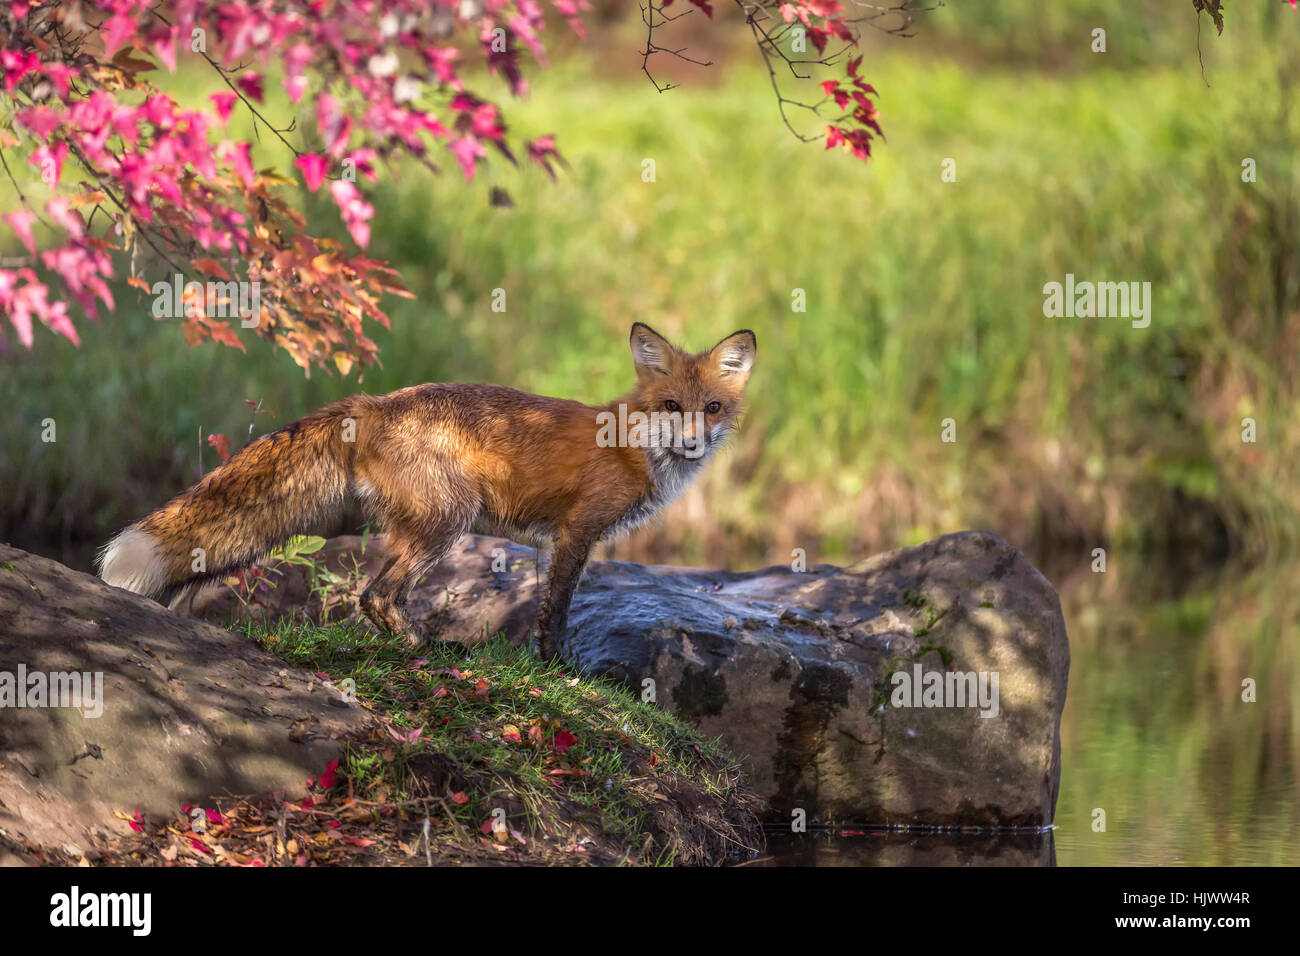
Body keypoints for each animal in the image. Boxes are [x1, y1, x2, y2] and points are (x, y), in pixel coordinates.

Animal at [97, 323, 756, 658]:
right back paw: (422, 647)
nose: (693, 443)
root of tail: (373, 402)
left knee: (368, 594)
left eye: (712, 408)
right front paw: (557, 670)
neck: (628, 443)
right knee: (374, 594)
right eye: (671, 406)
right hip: (449, 519)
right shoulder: (576, 532)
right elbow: (557, 614)